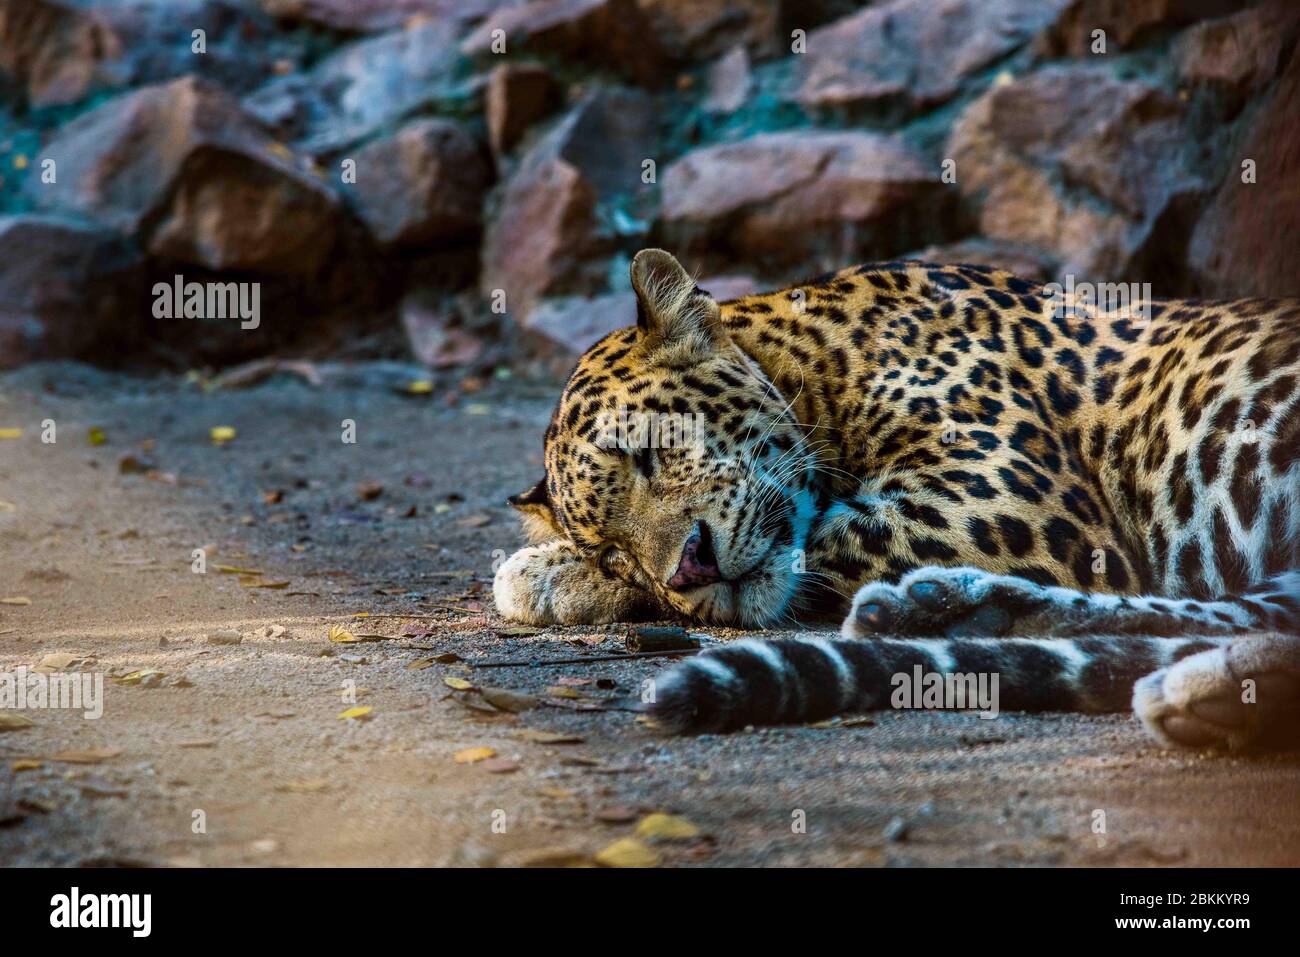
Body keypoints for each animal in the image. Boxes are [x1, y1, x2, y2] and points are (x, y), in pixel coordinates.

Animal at [494, 248, 1300, 751]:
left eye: (651, 449)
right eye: (616, 551)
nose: (690, 569)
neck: (815, 362)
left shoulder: (998, 497)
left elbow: (826, 539)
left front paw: (541, 573)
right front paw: (557, 569)